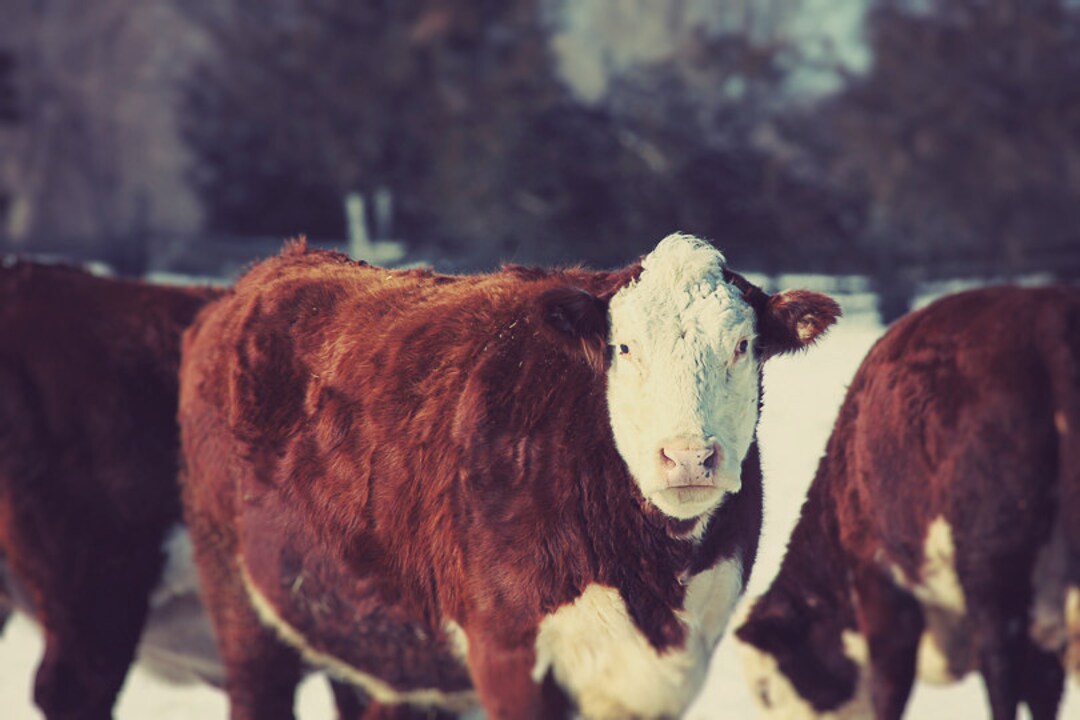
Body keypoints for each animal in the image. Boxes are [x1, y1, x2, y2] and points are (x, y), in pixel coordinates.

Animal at [178, 232, 841, 719]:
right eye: (624, 347)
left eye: (743, 345)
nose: (686, 457)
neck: (652, 574)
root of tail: (274, 267)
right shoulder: (506, 651)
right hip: (233, 591)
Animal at [735, 286, 1080, 720]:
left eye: (767, 691)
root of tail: (1048, 317)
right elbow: (1044, 692)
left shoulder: (877, 575)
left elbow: (889, 684)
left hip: (991, 565)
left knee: (1000, 671)